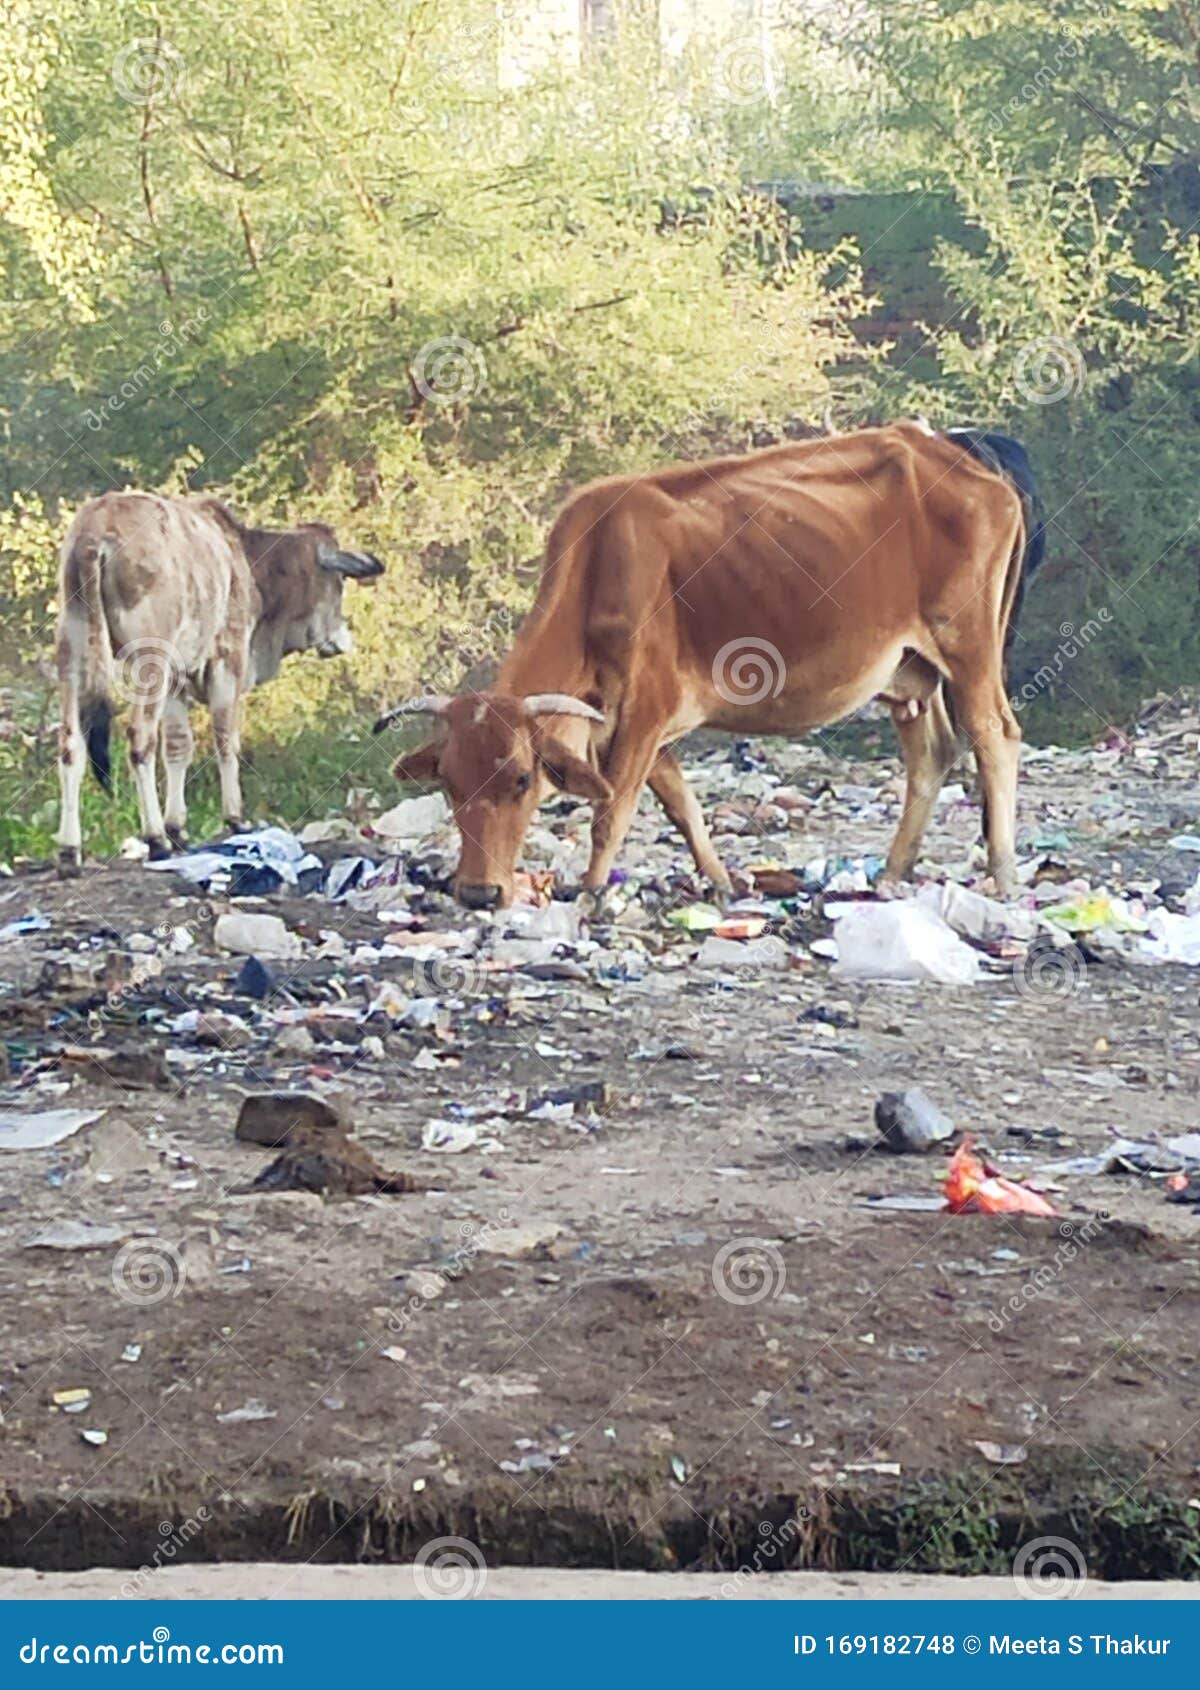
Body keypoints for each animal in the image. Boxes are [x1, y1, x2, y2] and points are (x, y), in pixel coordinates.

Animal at [55, 493, 384, 873]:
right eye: (340, 582)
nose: (344, 639)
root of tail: (95, 529)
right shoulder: (229, 661)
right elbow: (226, 739)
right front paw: (234, 818)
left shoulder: (177, 680)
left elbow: (178, 747)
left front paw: (179, 829)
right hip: (151, 657)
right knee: (140, 740)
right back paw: (155, 839)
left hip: (75, 651)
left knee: (71, 745)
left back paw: (70, 851)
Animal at [374, 422, 1044, 911]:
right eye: (449, 783)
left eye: (520, 780)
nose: (478, 892)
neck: (597, 571)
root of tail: (960, 452)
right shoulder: (637, 725)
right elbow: (681, 806)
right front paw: (721, 880)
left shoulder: (646, 709)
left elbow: (611, 813)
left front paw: (591, 893)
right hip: (908, 672)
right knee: (929, 752)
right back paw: (892, 871)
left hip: (969, 646)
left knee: (996, 736)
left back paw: (1004, 872)